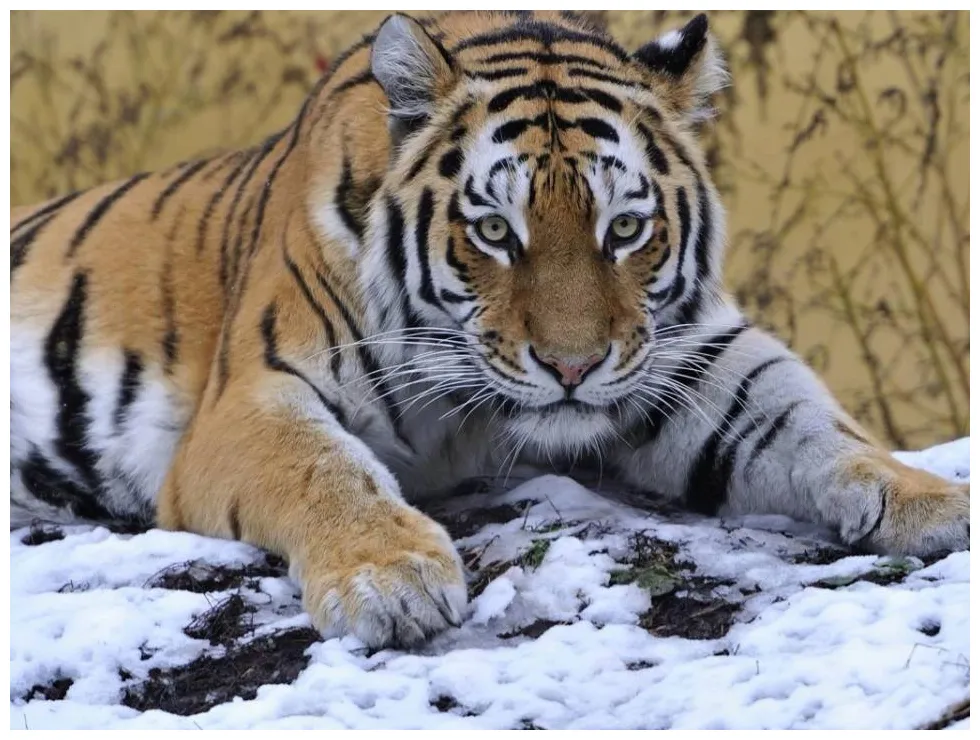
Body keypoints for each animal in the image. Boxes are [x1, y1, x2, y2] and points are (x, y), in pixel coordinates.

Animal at [10, 11, 969, 649]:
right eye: (496, 232)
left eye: (626, 228)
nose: (573, 368)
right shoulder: (251, 398)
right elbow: (324, 470)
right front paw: (390, 581)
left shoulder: (688, 359)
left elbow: (807, 420)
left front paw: (928, 498)